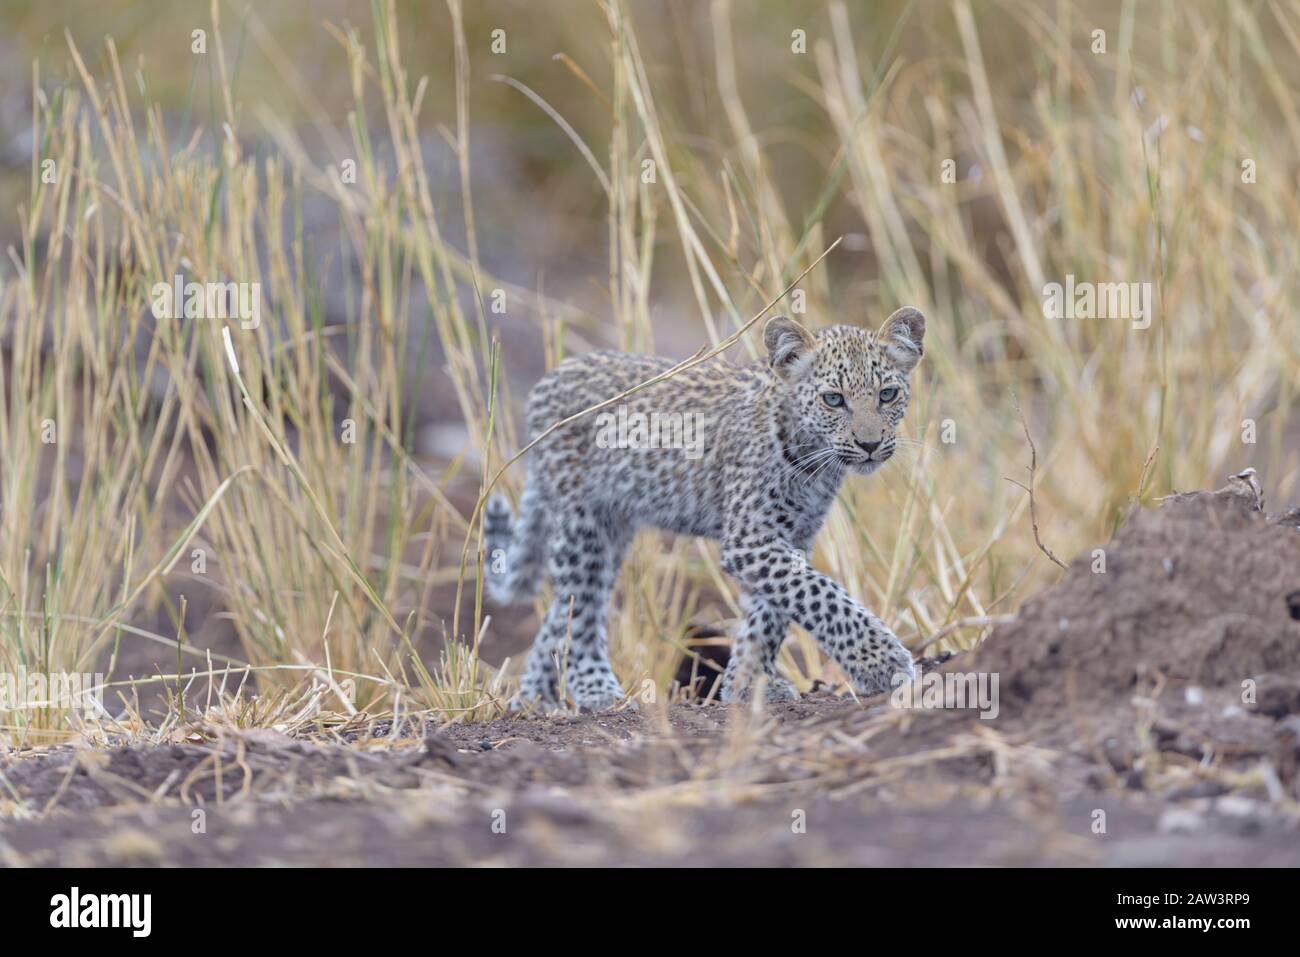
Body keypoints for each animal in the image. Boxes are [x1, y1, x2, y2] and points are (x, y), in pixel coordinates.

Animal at [485, 306, 926, 711]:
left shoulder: (791, 536)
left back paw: (535, 698)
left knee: (564, 607)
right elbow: (822, 597)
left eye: (887, 394)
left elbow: (772, 615)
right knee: (581, 610)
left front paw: (748, 683)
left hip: (613, 525)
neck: (813, 460)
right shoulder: (751, 540)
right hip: (582, 522)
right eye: (833, 399)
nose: (870, 444)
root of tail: (551, 377)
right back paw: (597, 691)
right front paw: (882, 661)